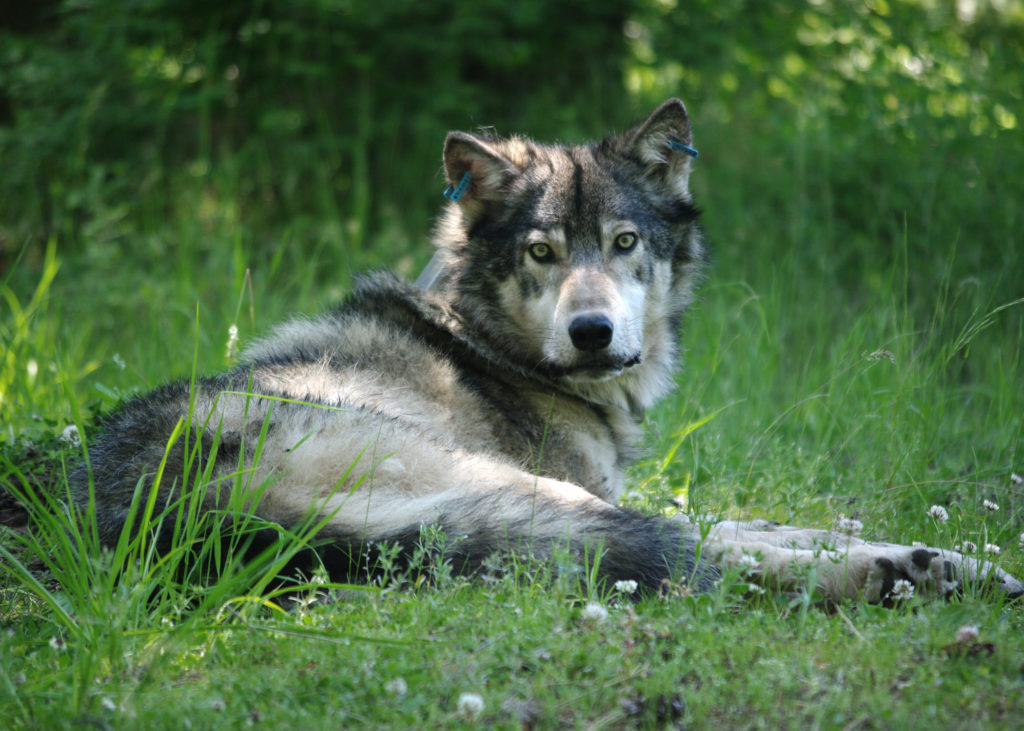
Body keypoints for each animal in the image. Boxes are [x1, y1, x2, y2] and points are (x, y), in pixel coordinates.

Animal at [72, 99, 1022, 602]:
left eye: (625, 242)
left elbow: (770, 518)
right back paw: (912, 575)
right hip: (506, 488)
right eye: (542, 252)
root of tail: (172, 516)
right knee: (696, 555)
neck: (489, 347)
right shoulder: (584, 488)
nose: (591, 331)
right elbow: (738, 531)